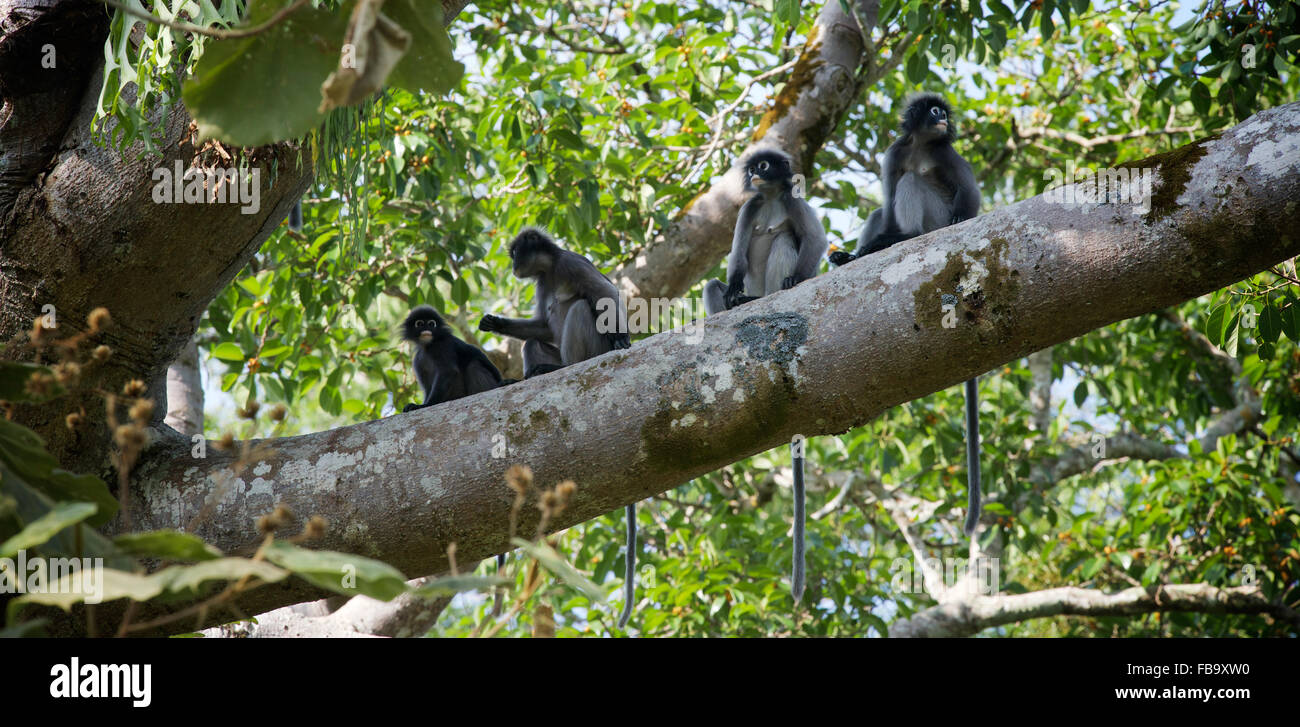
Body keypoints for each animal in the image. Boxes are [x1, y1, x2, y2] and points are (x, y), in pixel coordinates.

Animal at [477, 228, 639, 626]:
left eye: (515, 254)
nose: (513, 265)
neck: (549, 271)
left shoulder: (571, 264)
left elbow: (605, 294)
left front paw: (623, 338)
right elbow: (541, 326)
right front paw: (497, 323)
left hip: (593, 347)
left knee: (582, 307)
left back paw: (567, 365)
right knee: (535, 342)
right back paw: (543, 370)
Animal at [703, 148, 829, 315]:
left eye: (763, 166)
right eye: (751, 169)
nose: (754, 174)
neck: (771, 197)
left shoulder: (792, 199)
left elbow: (815, 238)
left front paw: (796, 277)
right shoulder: (750, 206)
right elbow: (738, 251)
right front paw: (733, 289)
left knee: (783, 239)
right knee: (711, 285)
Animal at [829, 93, 984, 537]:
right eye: (933, 111)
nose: (943, 116)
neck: (921, 146)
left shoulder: (946, 155)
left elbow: (970, 199)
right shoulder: (895, 153)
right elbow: (884, 202)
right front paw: (858, 250)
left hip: (935, 217)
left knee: (915, 185)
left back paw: (904, 238)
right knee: (886, 206)